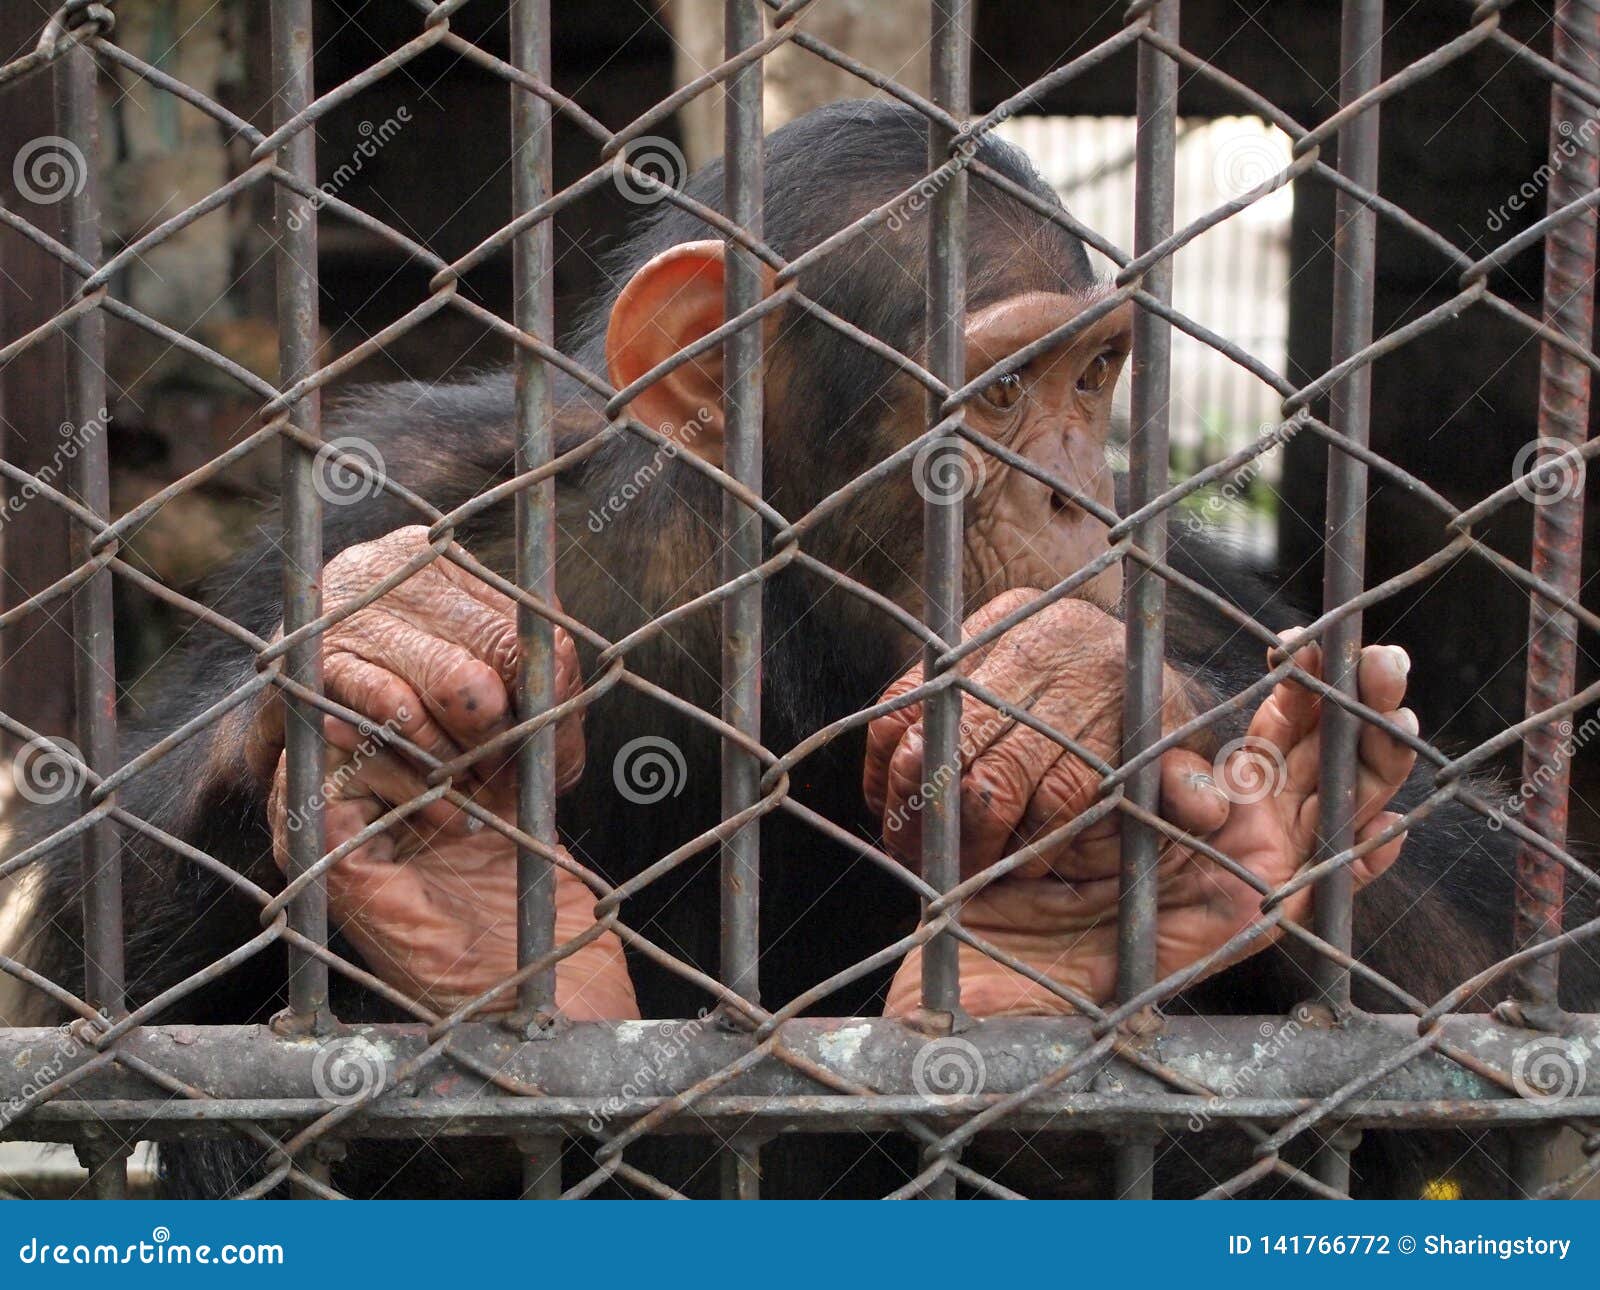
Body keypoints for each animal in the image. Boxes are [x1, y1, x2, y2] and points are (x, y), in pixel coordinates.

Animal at [1, 99, 1593, 1199]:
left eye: (1091, 378)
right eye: (999, 394)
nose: (1071, 494)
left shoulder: (1182, 576)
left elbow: (1493, 987)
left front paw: (1095, 700)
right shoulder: (384, 481)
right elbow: (95, 987)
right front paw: (380, 644)